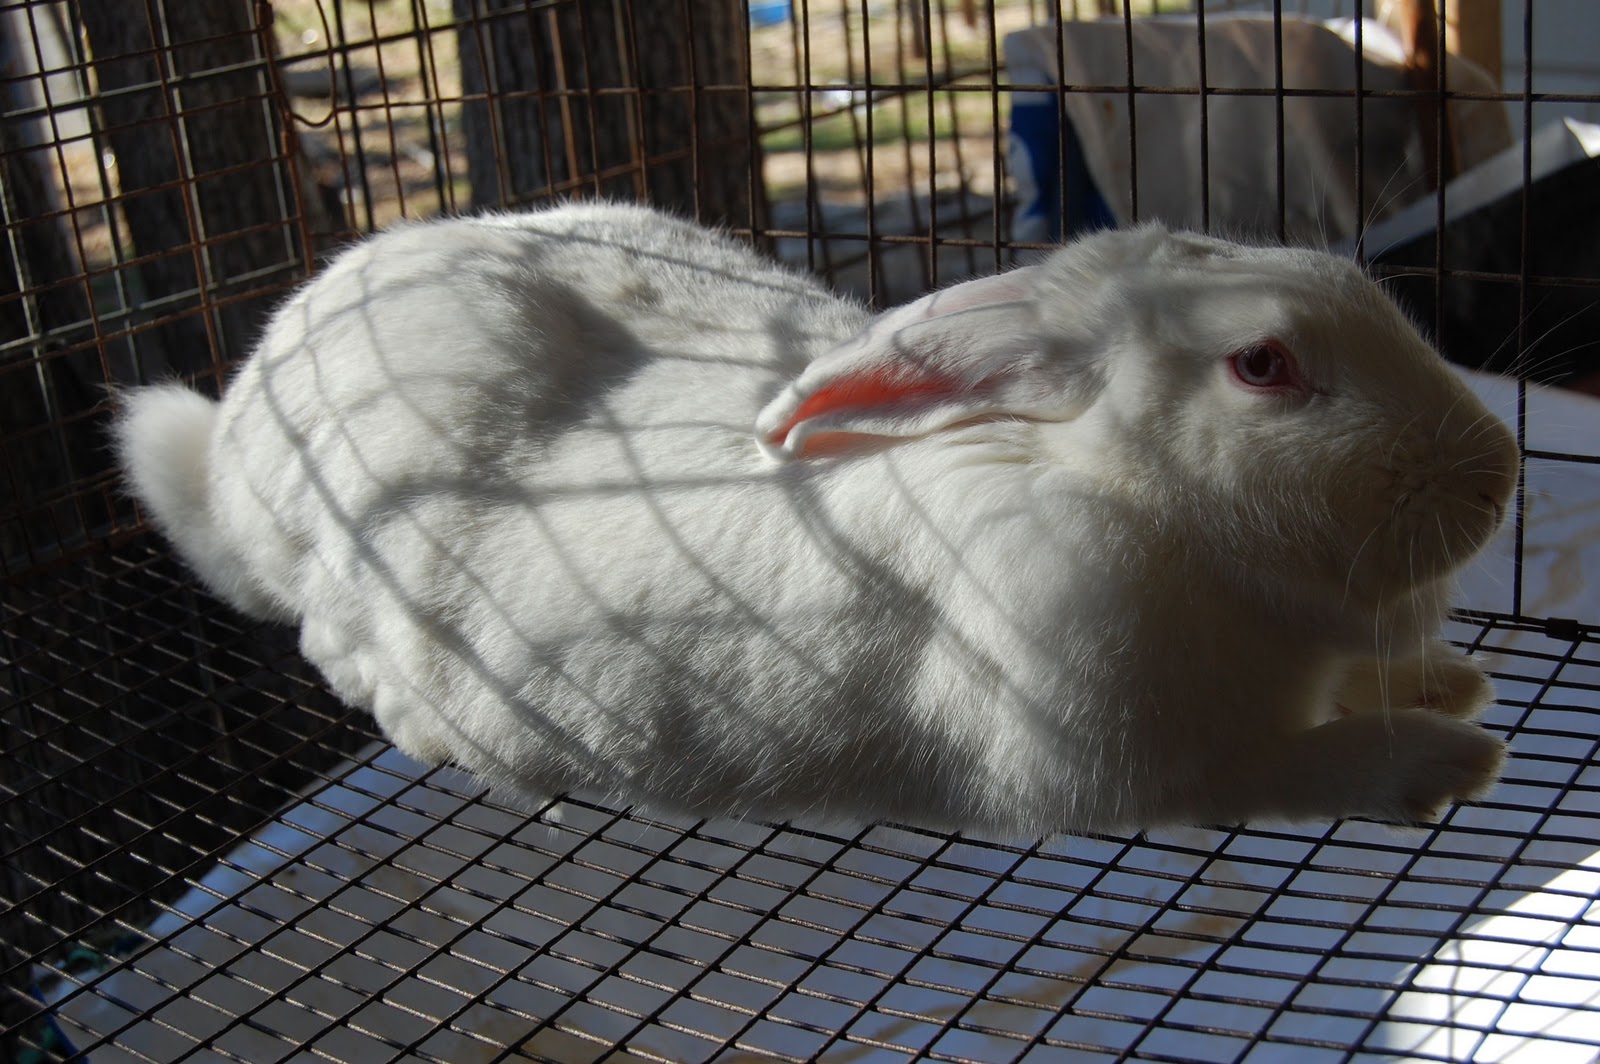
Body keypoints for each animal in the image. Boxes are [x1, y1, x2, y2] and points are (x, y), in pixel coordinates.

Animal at [114, 201, 1519, 837]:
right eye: (1263, 365)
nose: (1497, 472)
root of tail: (237, 439)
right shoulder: (1142, 765)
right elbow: (1291, 771)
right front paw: (1446, 758)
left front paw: (1448, 680)